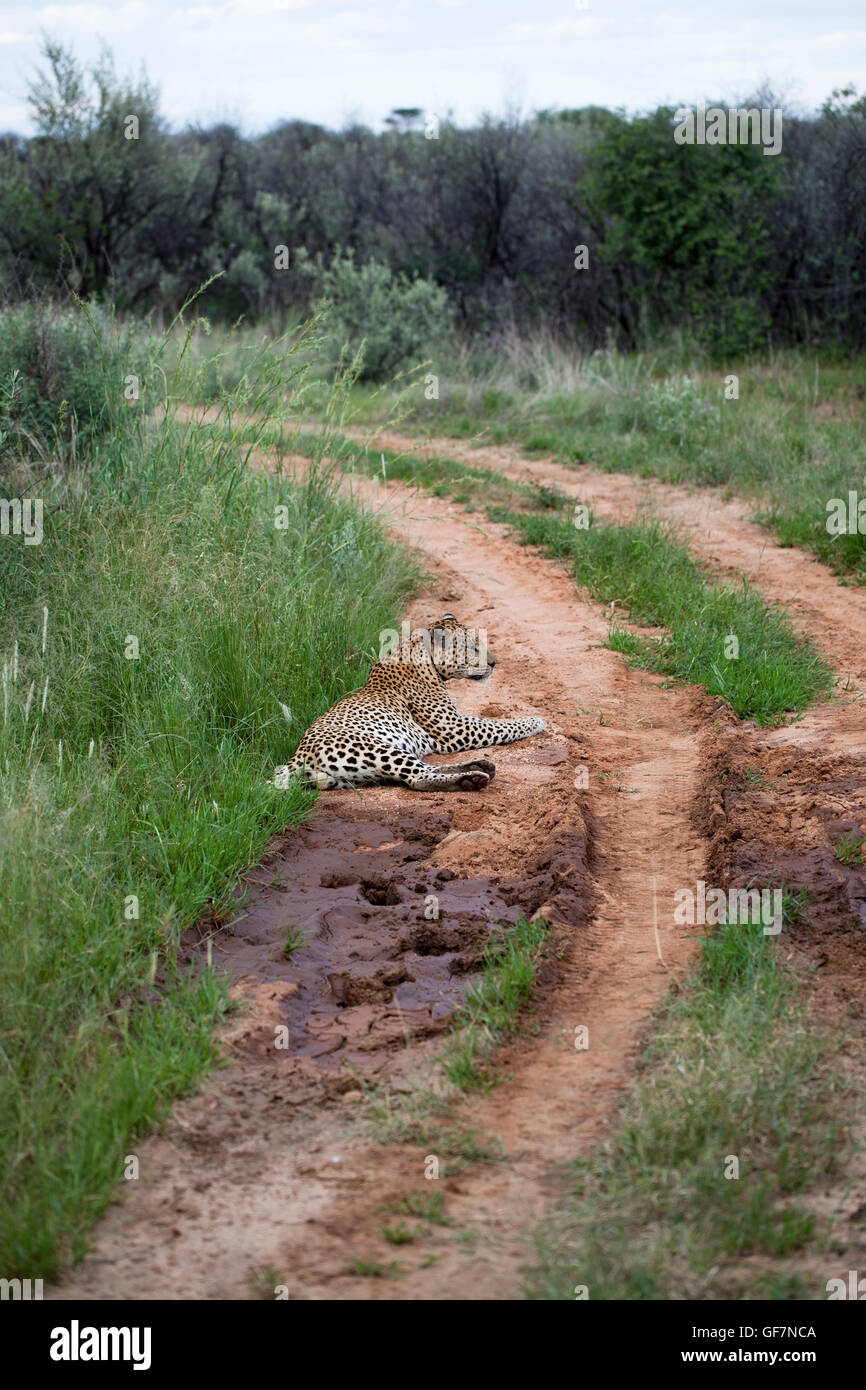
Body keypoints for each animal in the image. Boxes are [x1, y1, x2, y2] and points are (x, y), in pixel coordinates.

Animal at [270, 614, 544, 792]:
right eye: (472, 648)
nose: (495, 663)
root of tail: (297, 755)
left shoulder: (455, 723)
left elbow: (488, 721)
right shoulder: (454, 729)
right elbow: (497, 725)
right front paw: (534, 721)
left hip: (357, 775)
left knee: (419, 771)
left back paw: (479, 765)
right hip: (375, 747)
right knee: (418, 777)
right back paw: (472, 778)